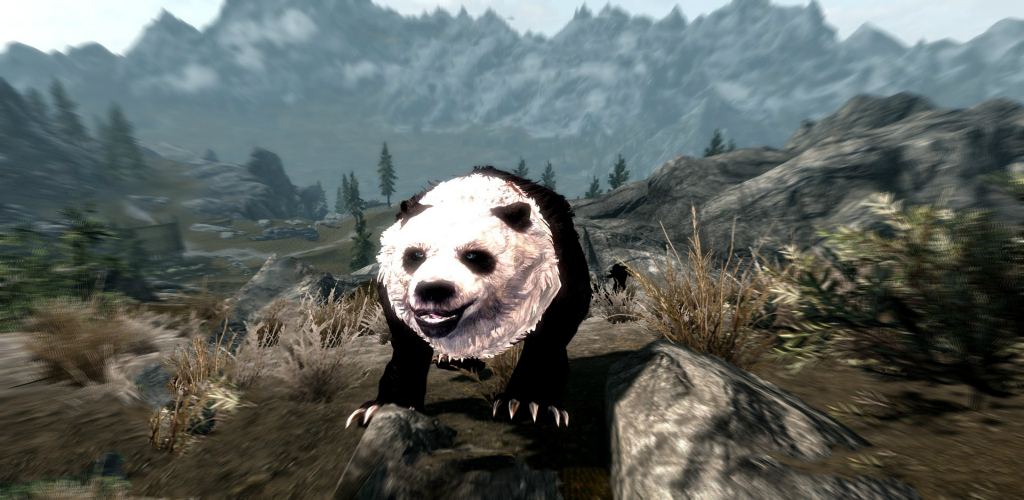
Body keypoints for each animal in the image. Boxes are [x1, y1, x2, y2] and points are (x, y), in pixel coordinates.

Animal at [346, 166, 592, 427]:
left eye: (473, 256)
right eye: (416, 255)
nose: (433, 290)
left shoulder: (556, 258)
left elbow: (555, 327)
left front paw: (527, 403)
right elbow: (406, 342)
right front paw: (388, 405)